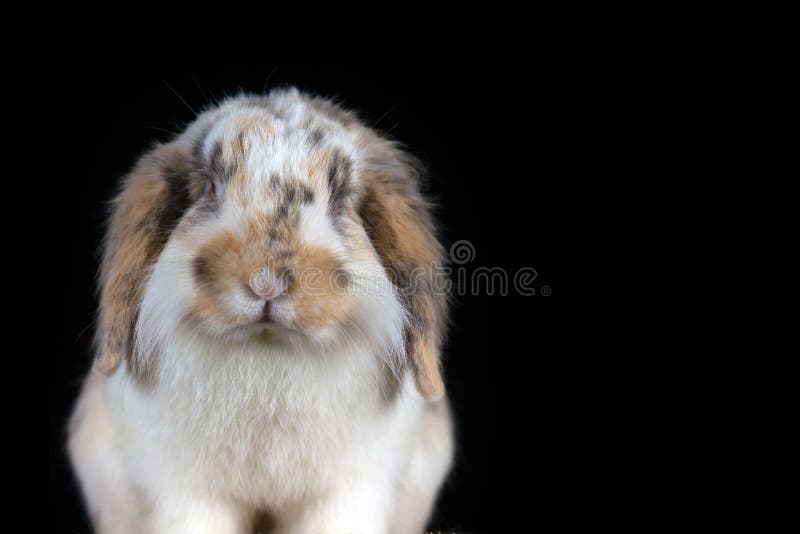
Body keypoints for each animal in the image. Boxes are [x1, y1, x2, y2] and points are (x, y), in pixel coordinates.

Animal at [67, 88, 454, 534]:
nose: (266, 282)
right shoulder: (189, 492)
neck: (267, 350)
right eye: (210, 187)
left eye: (340, 196)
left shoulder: (348, 491)